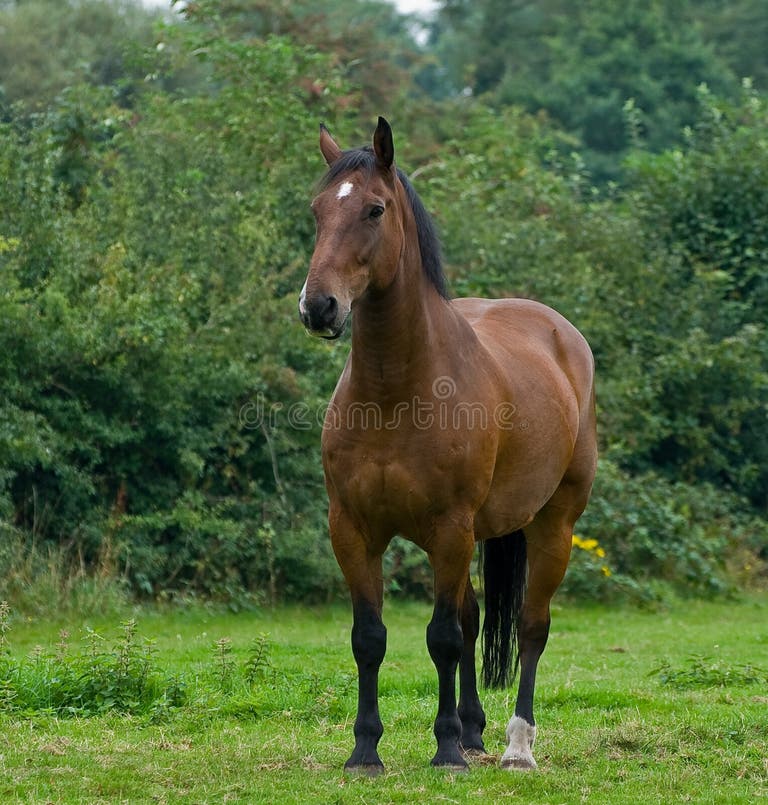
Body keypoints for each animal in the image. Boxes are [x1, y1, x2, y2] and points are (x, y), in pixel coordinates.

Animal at [298, 117, 597, 774]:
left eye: (375, 209)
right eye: (317, 211)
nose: (318, 306)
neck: (395, 392)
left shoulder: (449, 528)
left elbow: (442, 639)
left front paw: (443, 752)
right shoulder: (351, 529)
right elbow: (370, 638)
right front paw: (366, 749)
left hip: (552, 524)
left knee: (530, 627)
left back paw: (515, 745)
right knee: (475, 617)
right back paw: (473, 730)